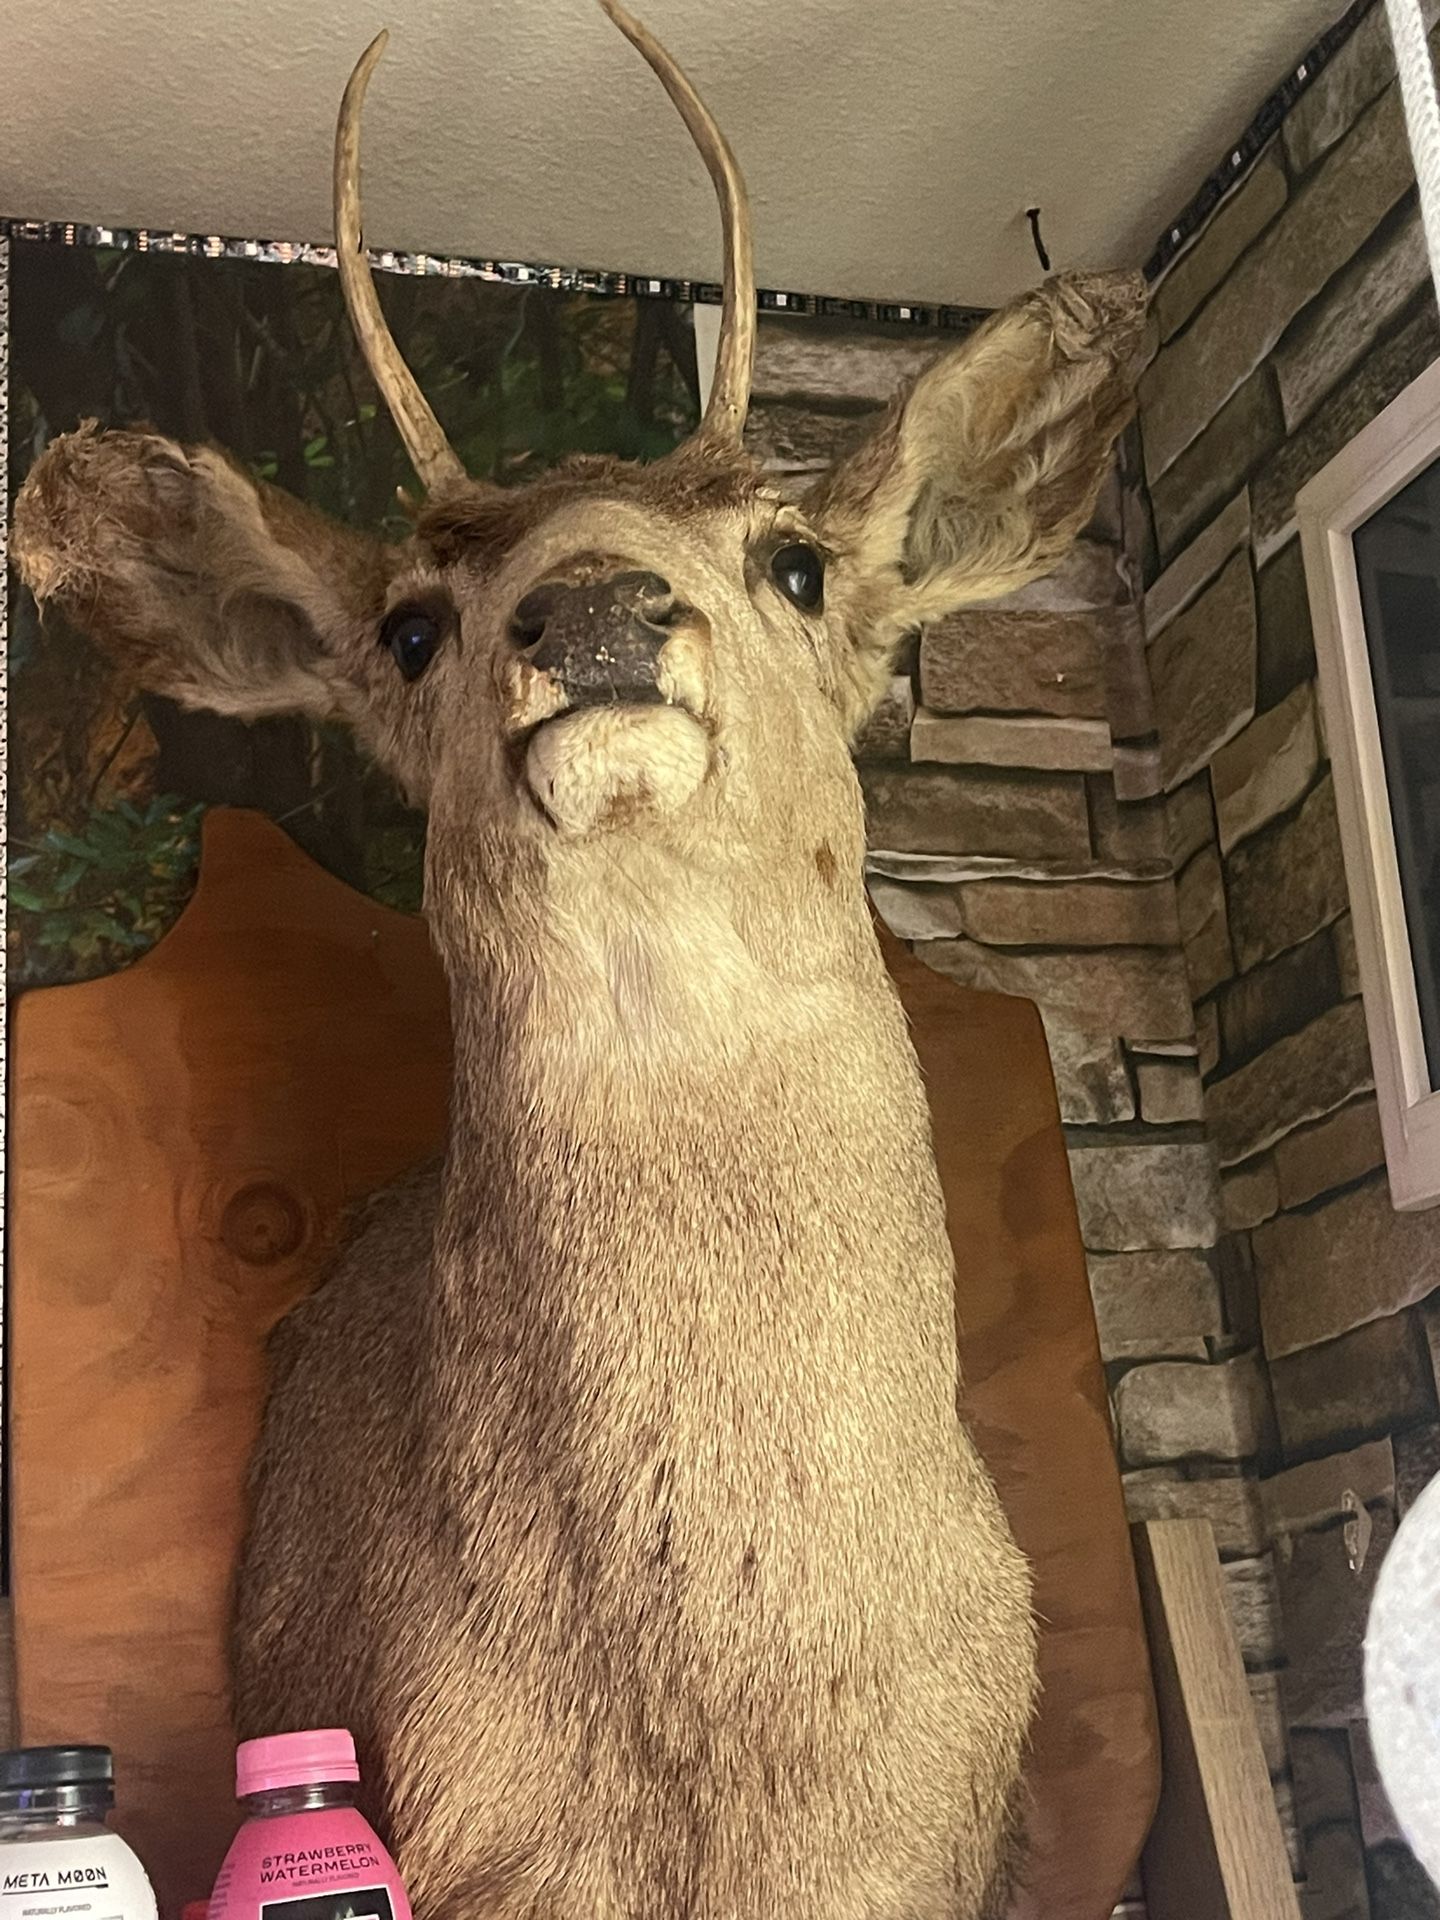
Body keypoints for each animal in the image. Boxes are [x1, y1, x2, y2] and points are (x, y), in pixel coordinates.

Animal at [13, 5, 1145, 1915]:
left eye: (798, 562)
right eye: (411, 626)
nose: (600, 605)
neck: (727, 1737)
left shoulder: (921, 1851)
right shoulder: (478, 1842)